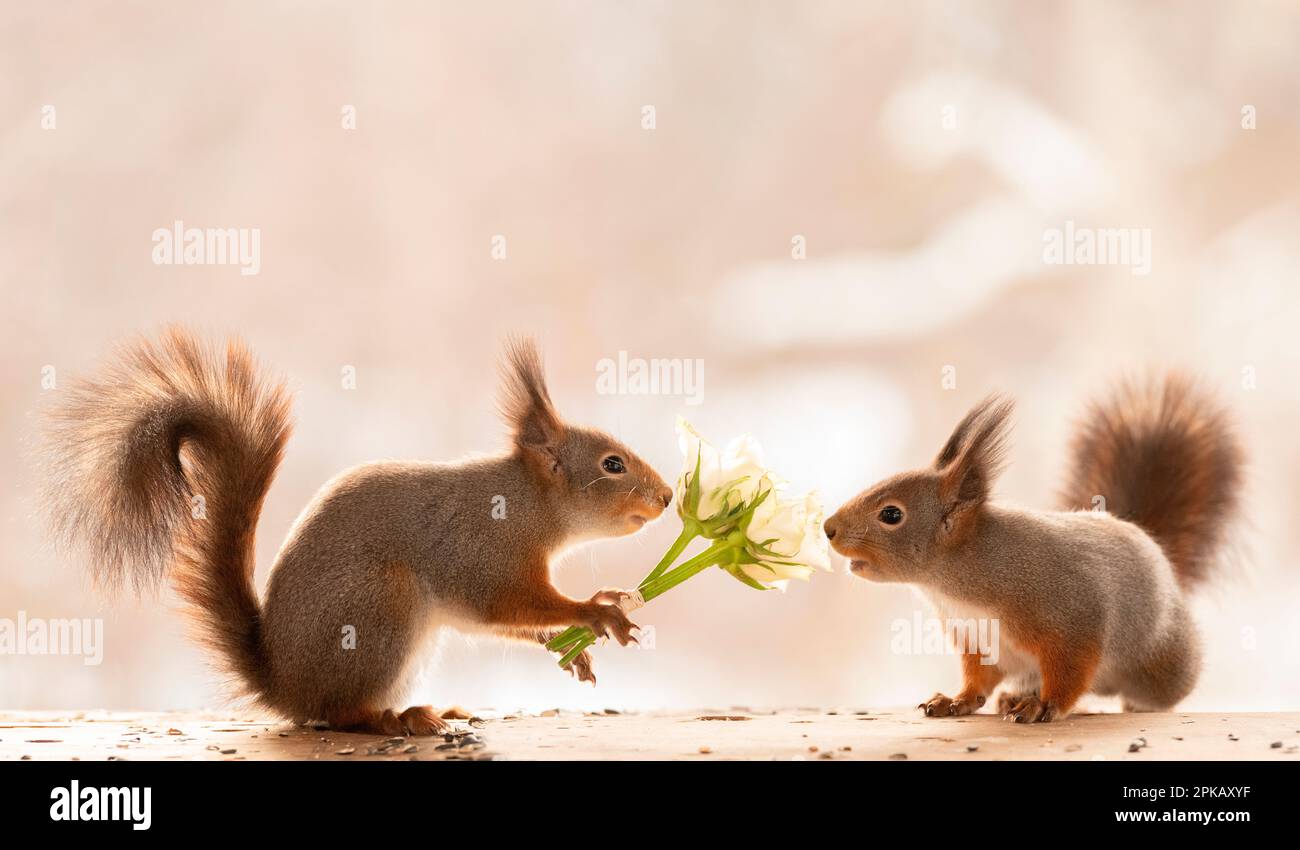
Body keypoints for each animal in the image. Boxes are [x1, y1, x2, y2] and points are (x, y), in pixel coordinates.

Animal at [42, 328, 673, 736]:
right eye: (612, 465)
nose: (668, 497)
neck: (527, 504)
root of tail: (285, 685)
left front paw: (574, 645)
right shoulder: (482, 552)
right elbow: (506, 603)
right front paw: (597, 610)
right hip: (379, 606)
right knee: (342, 713)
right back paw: (400, 718)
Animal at [822, 375, 1242, 722]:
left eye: (891, 514)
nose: (828, 529)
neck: (956, 582)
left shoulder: (1072, 619)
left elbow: (1071, 670)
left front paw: (1046, 705)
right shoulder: (978, 638)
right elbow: (978, 680)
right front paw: (956, 700)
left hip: (1162, 665)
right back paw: (1014, 697)